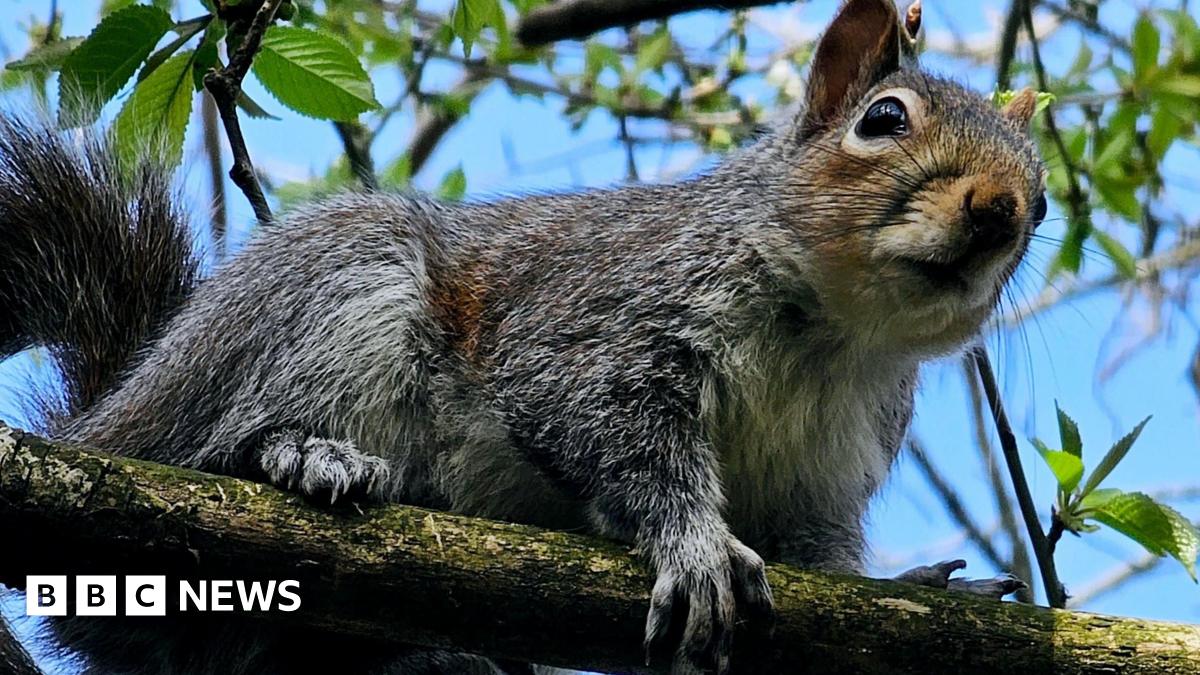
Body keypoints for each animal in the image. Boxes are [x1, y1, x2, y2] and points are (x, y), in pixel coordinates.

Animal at [0, 0, 1043, 673]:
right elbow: (606, 425)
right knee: (207, 447)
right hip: (332, 298)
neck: (834, 330)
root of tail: (112, 417)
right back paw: (300, 454)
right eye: (882, 119)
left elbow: (824, 561)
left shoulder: (828, 468)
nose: (999, 210)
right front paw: (694, 541)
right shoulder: (603, 316)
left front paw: (915, 585)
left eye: (1040, 196)